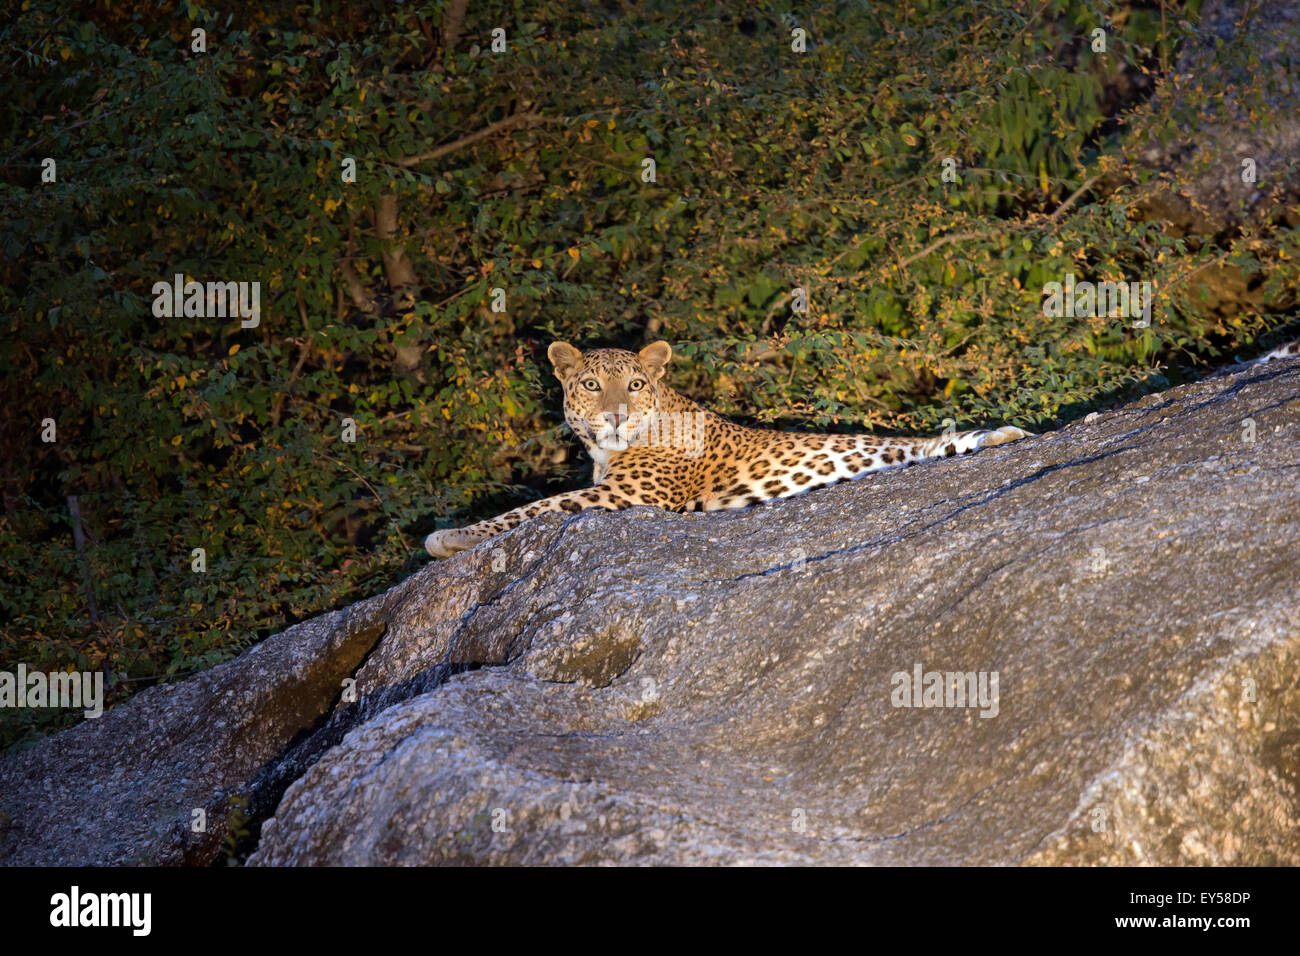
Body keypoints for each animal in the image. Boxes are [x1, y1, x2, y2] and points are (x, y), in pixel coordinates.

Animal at [424, 340, 1033, 558]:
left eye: (635, 385)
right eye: (592, 385)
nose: (616, 414)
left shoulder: (626, 497)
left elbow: (533, 508)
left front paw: (449, 538)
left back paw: (1006, 436)